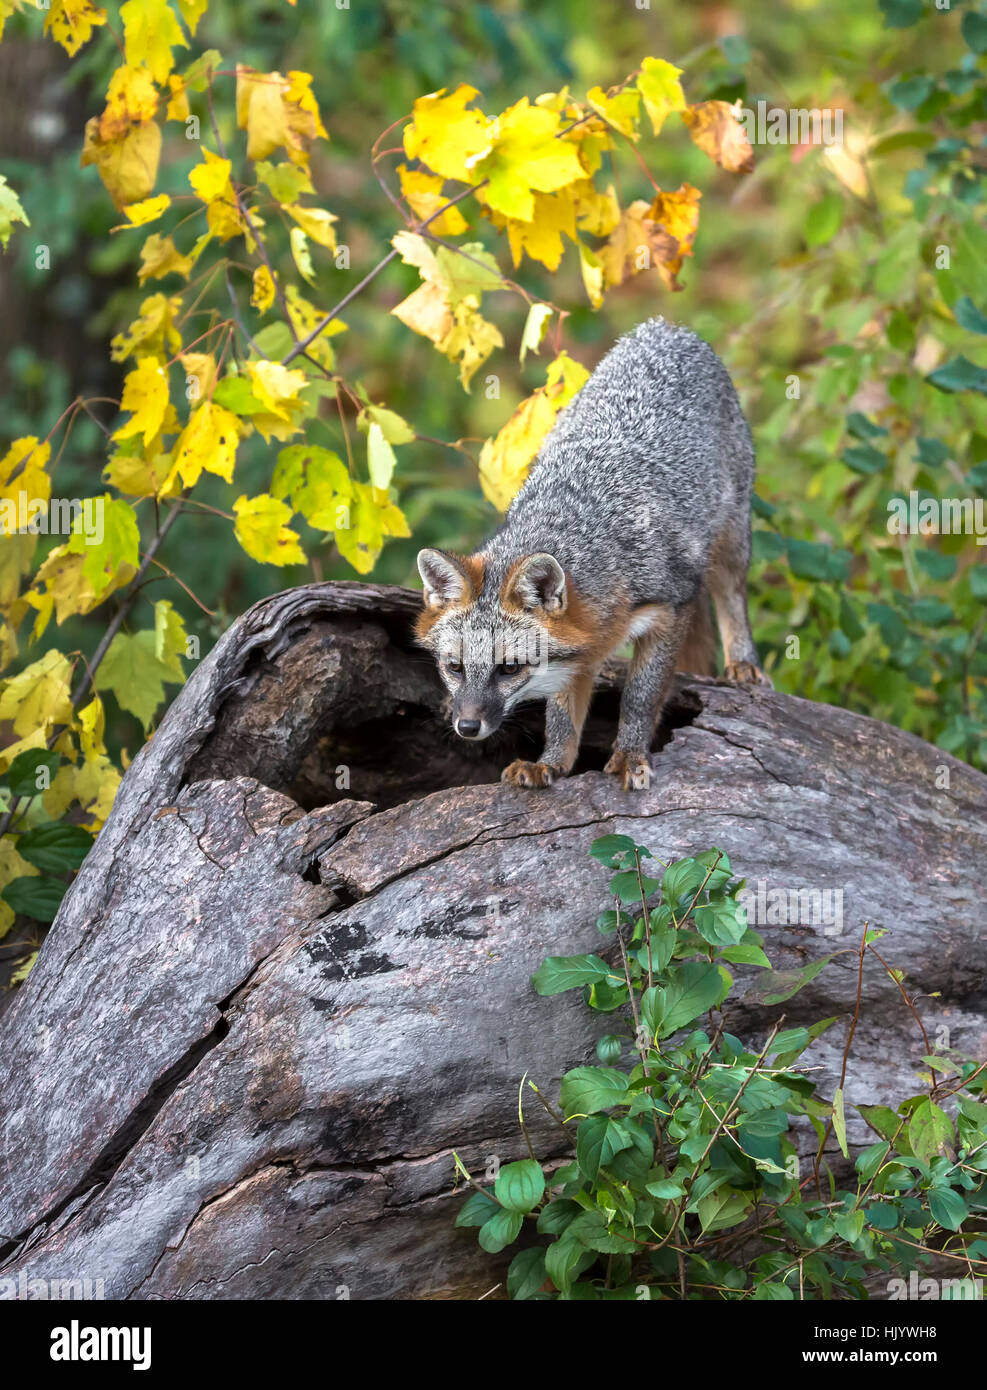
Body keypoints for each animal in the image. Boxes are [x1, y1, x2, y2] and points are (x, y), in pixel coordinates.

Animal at [415, 317, 770, 791]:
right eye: (454, 667)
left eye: (509, 669)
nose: (467, 727)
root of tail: (664, 328)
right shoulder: (577, 654)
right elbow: (562, 714)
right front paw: (552, 763)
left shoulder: (669, 610)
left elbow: (639, 697)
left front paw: (631, 755)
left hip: (732, 539)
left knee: (732, 596)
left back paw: (743, 663)